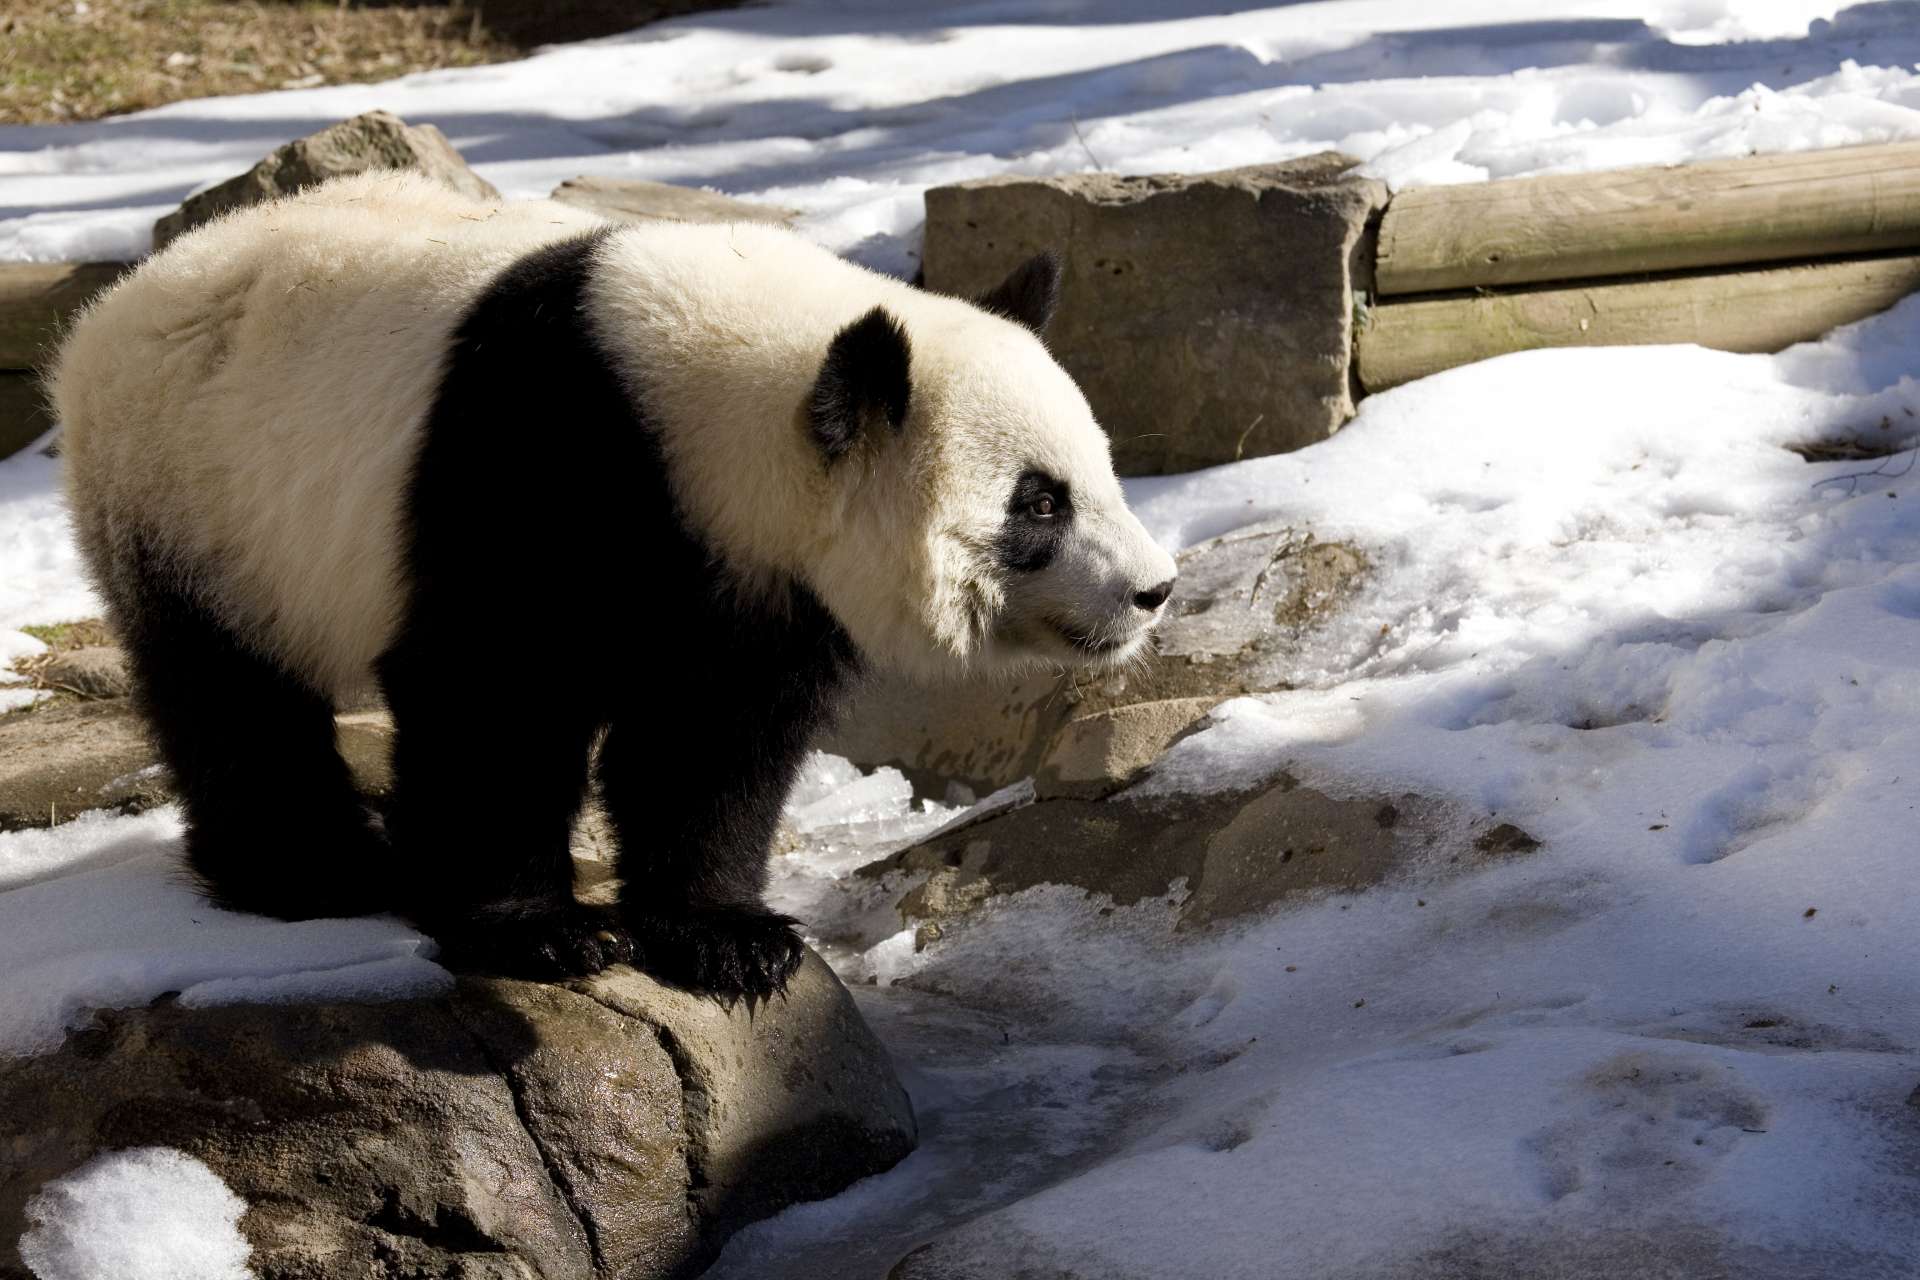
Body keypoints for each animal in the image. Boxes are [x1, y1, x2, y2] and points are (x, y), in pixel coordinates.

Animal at [52, 172, 1179, 998]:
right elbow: (490, 697)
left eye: (1101, 467)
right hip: (197, 495)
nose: (1154, 591)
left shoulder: (747, 575)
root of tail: (114, 305)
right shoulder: (542, 459)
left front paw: (729, 937)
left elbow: (712, 739)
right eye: (1039, 504)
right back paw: (313, 869)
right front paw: (540, 934)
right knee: (230, 695)